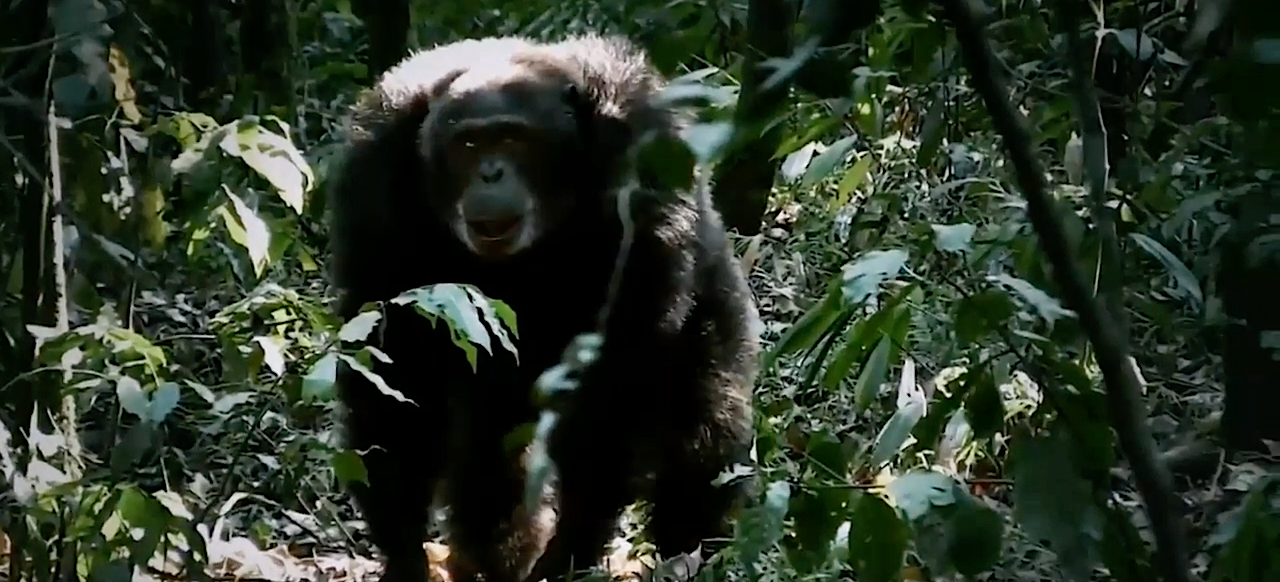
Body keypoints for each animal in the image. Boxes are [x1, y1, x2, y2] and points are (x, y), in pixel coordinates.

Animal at [326, 33, 760, 582]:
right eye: (469, 145)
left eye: (514, 140)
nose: (491, 174)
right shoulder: (371, 185)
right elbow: (394, 375)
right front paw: (405, 557)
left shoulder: (642, 166)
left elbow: (614, 375)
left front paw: (571, 551)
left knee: (704, 416)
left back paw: (687, 546)